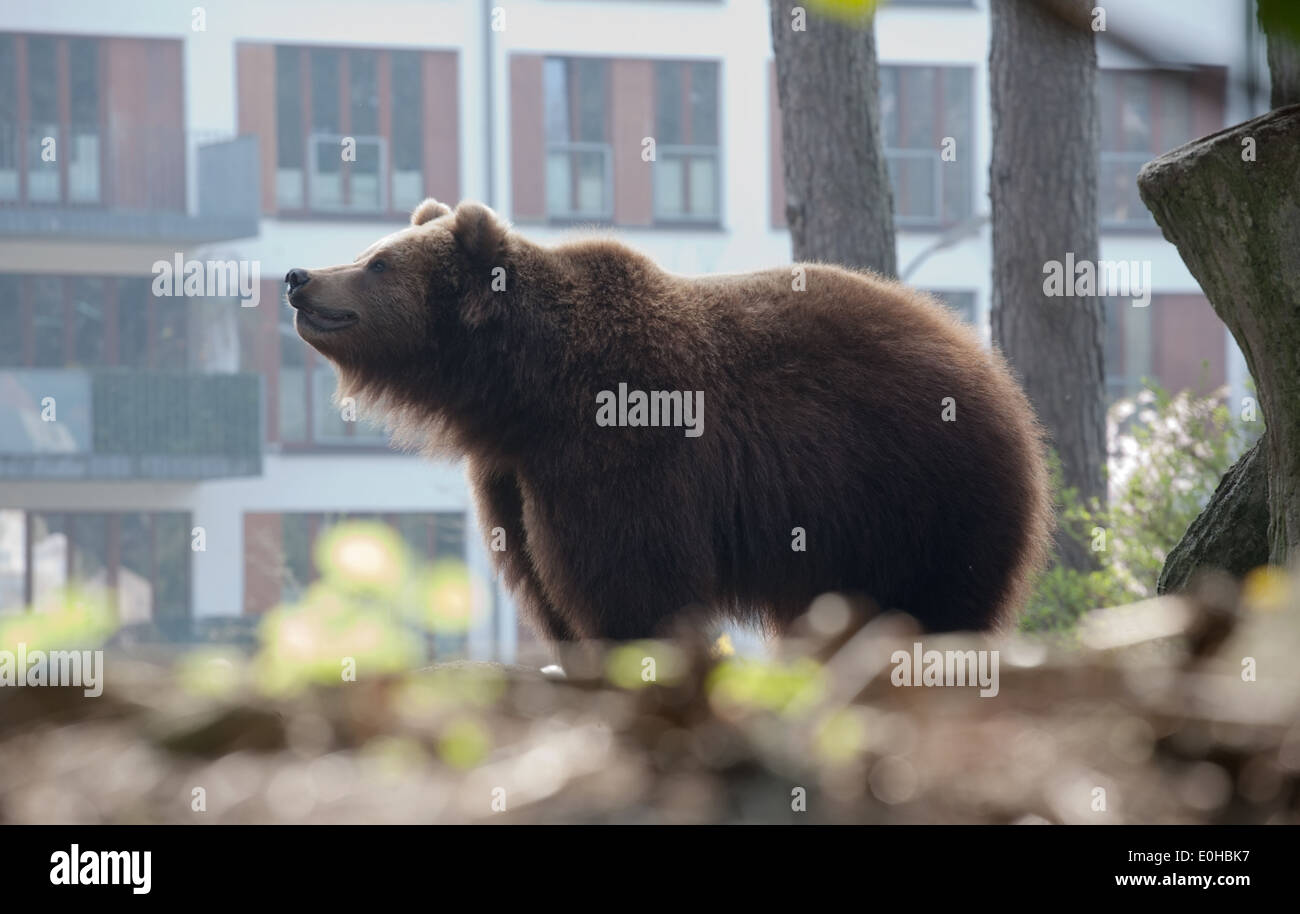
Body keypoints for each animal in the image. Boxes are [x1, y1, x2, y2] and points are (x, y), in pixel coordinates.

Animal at [285, 198, 1053, 645]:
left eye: (378, 263)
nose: (299, 277)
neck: (523, 387)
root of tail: (990, 365)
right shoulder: (512, 471)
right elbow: (541, 575)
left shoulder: (619, 438)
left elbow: (630, 574)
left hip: (921, 485)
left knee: (939, 594)